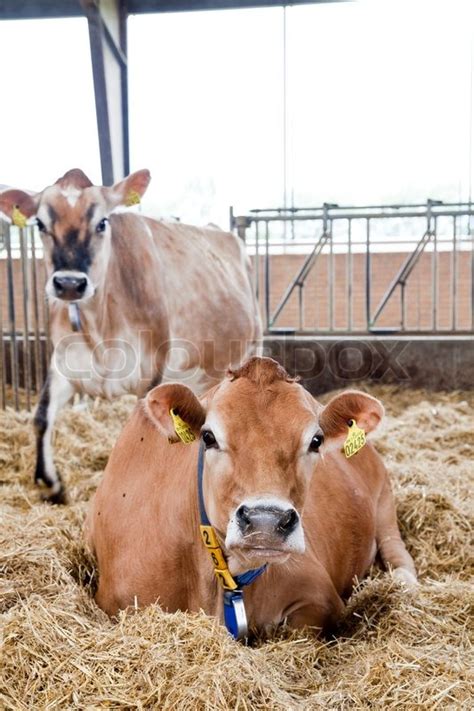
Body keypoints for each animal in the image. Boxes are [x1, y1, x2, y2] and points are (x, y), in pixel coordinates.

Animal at [0, 170, 261, 504]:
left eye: (102, 222)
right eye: (40, 224)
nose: (69, 283)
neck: (100, 333)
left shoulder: (151, 372)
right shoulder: (63, 364)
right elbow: (42, 415)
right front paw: (52, 484)